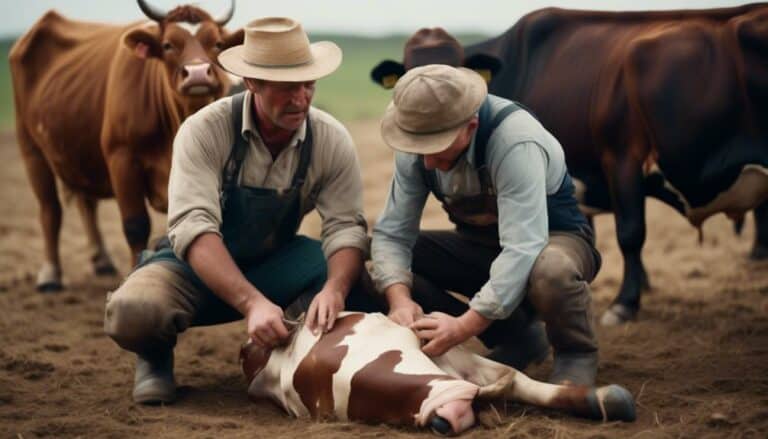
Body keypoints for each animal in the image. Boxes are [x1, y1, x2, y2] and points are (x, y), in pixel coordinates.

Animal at [8, 0, 244, 291]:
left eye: (218, 44)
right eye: (168, 45)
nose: (198, 74)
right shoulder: (122, 159)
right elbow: (135, 225)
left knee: (87, 203)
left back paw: (102, 261)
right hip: (31, 150)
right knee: (50, 209)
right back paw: (50, 274)